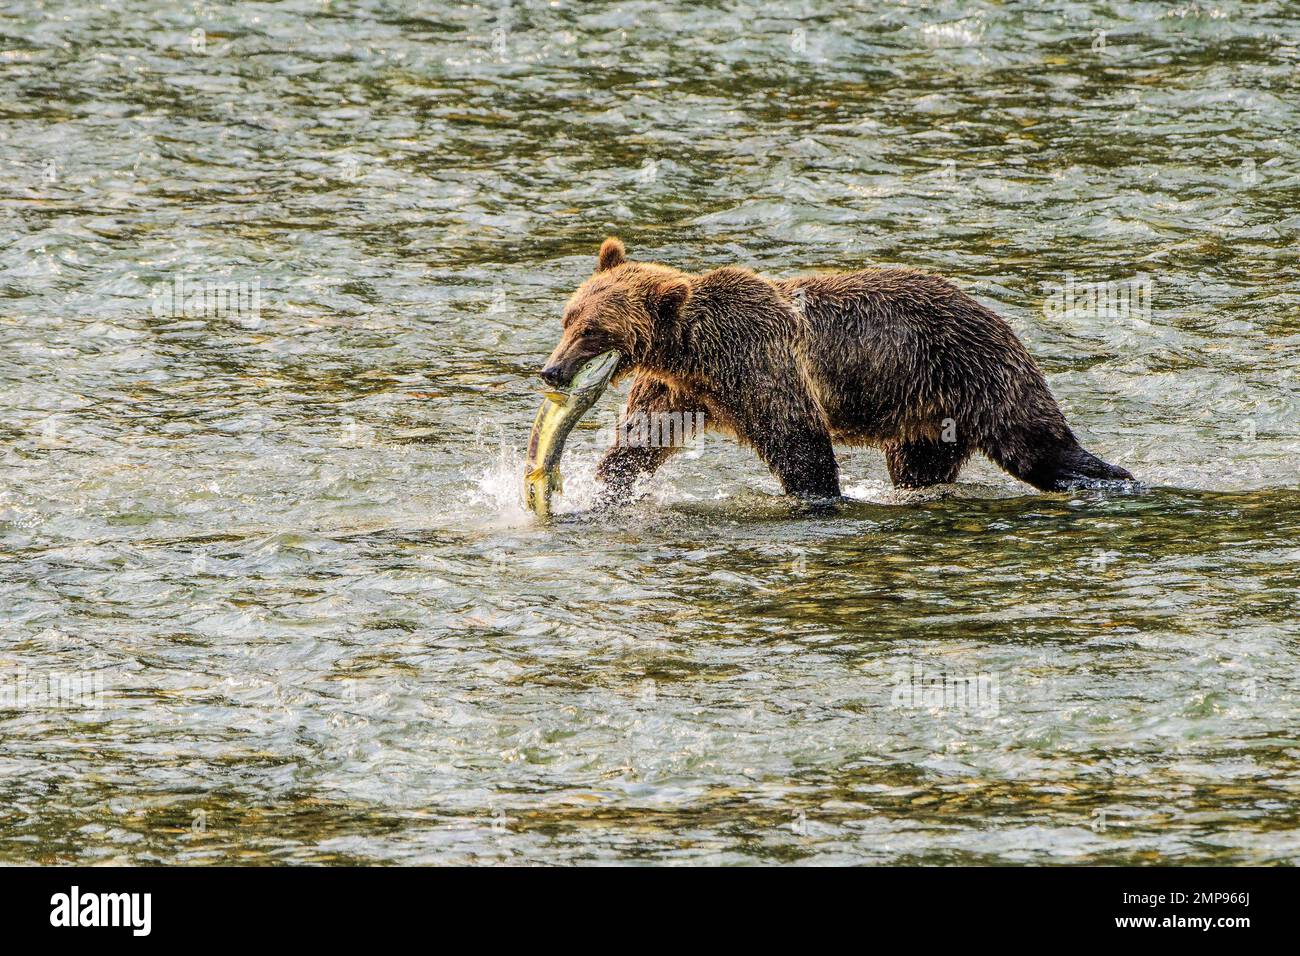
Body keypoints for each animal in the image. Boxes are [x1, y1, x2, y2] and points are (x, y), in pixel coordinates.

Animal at [538, 237, 1133, 506]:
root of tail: (998, 316)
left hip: (973, 372)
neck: (692, 351)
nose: (551, 372)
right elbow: (640, 442)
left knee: (1035, 441)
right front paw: (601, 491)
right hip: (925, 417)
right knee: (920, 466)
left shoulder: (758, 366)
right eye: (569, 317)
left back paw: (1112, 477)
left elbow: (799, 442)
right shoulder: (680, 390)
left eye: (593, 331)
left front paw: (820, 495)